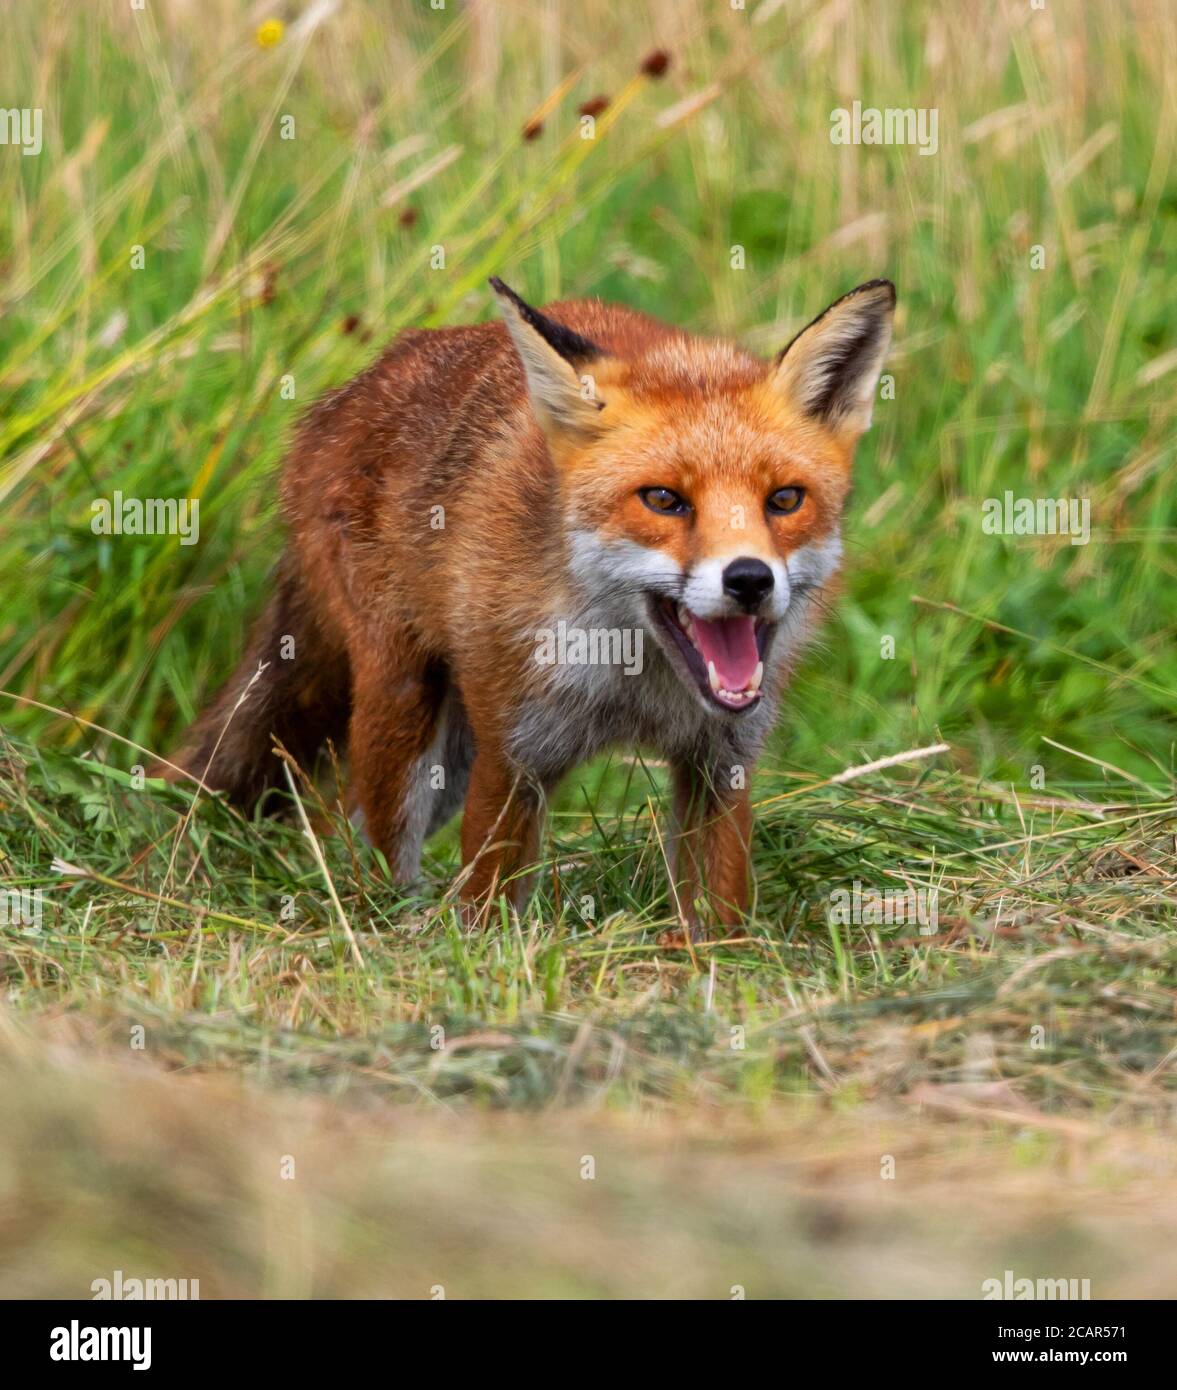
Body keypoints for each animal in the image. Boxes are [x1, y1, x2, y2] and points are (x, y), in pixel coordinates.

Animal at [161, 275, 896, 934]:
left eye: (784, 500)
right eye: (663, 499)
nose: (749, 580)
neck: (633, 679)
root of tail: (353, 388)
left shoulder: (722, 763)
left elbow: (717, 915)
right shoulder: (514, 753)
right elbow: (487, 905)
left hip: (449, 765)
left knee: (342, 819)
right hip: (406, 711)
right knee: (367, 840)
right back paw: (389, 926)